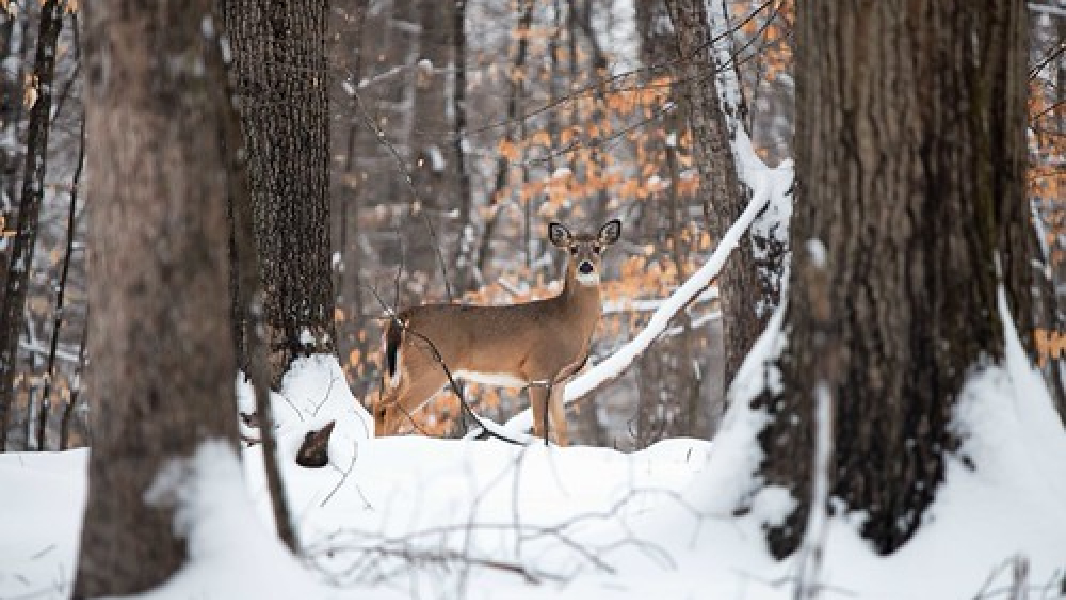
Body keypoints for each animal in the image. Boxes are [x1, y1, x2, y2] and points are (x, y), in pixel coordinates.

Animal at [374, 219, 622, 446]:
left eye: (597, 248)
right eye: (572, 249)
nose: (586, 266)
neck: (570, 320)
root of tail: (407, 315)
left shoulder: (560, 380)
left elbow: (562, 429)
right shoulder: (538, 370)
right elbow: (540, 426)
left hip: (408, 371)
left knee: (380, 405)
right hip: (429, 367)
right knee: (393, 410)